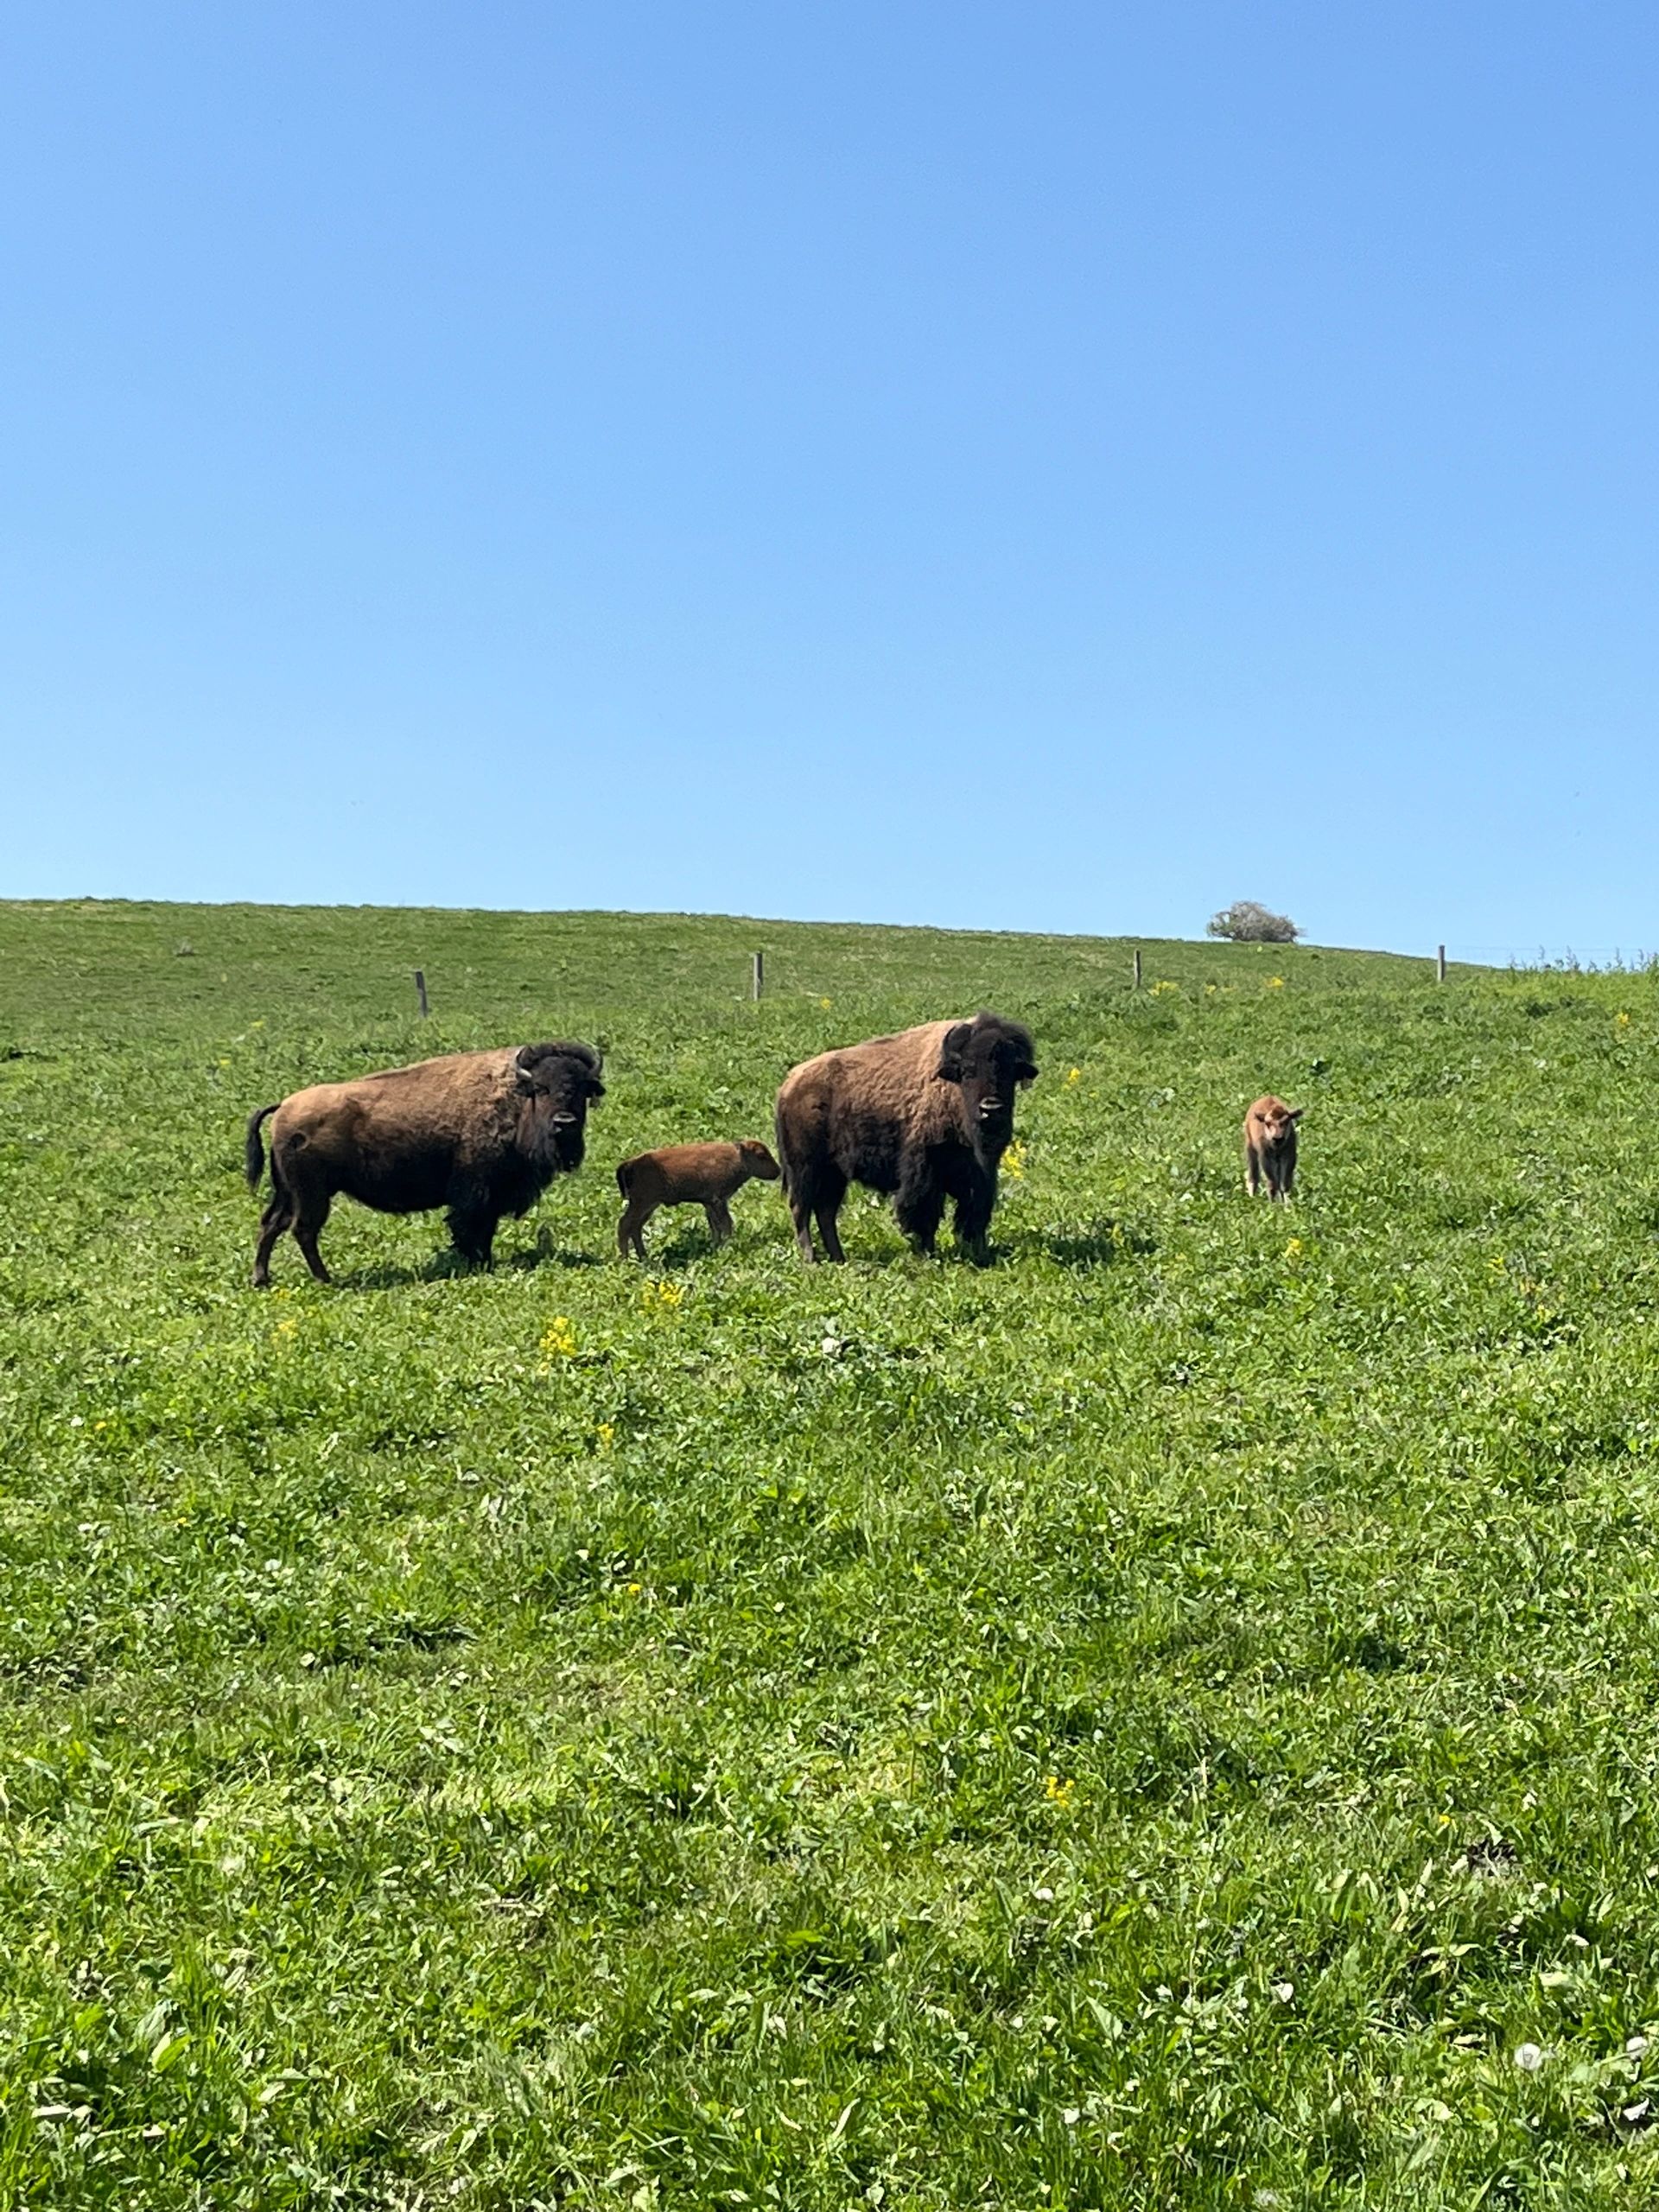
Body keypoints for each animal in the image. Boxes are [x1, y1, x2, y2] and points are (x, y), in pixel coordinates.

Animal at [245, 1040, 604, 1285]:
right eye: (541, 1089)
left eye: (580, 1089)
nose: (564, 1122)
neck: (515, 1099)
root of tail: (284, 1106)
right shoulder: (477, 1194)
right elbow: (472, 1229)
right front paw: (478, 1264)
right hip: (312, 1194)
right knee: (303, 1229)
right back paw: (325, 1278)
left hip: (287, 1191)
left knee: (272, 1224)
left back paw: (262, 1279)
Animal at [774, 1012, 1037, 1263]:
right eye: (967, 1071)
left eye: (1009, 1070)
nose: (990, 1108)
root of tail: (789, 1085)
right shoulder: (924, 1167)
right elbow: (923, 1211)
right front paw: (926, 1253)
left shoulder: (982, 1171)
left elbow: (977, 1211)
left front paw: (980, 1252)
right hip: (805, 1169)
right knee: (801, 1209)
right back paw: (811, 1258)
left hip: (834, 1173)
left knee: (825, 1212)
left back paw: (839, 1258)